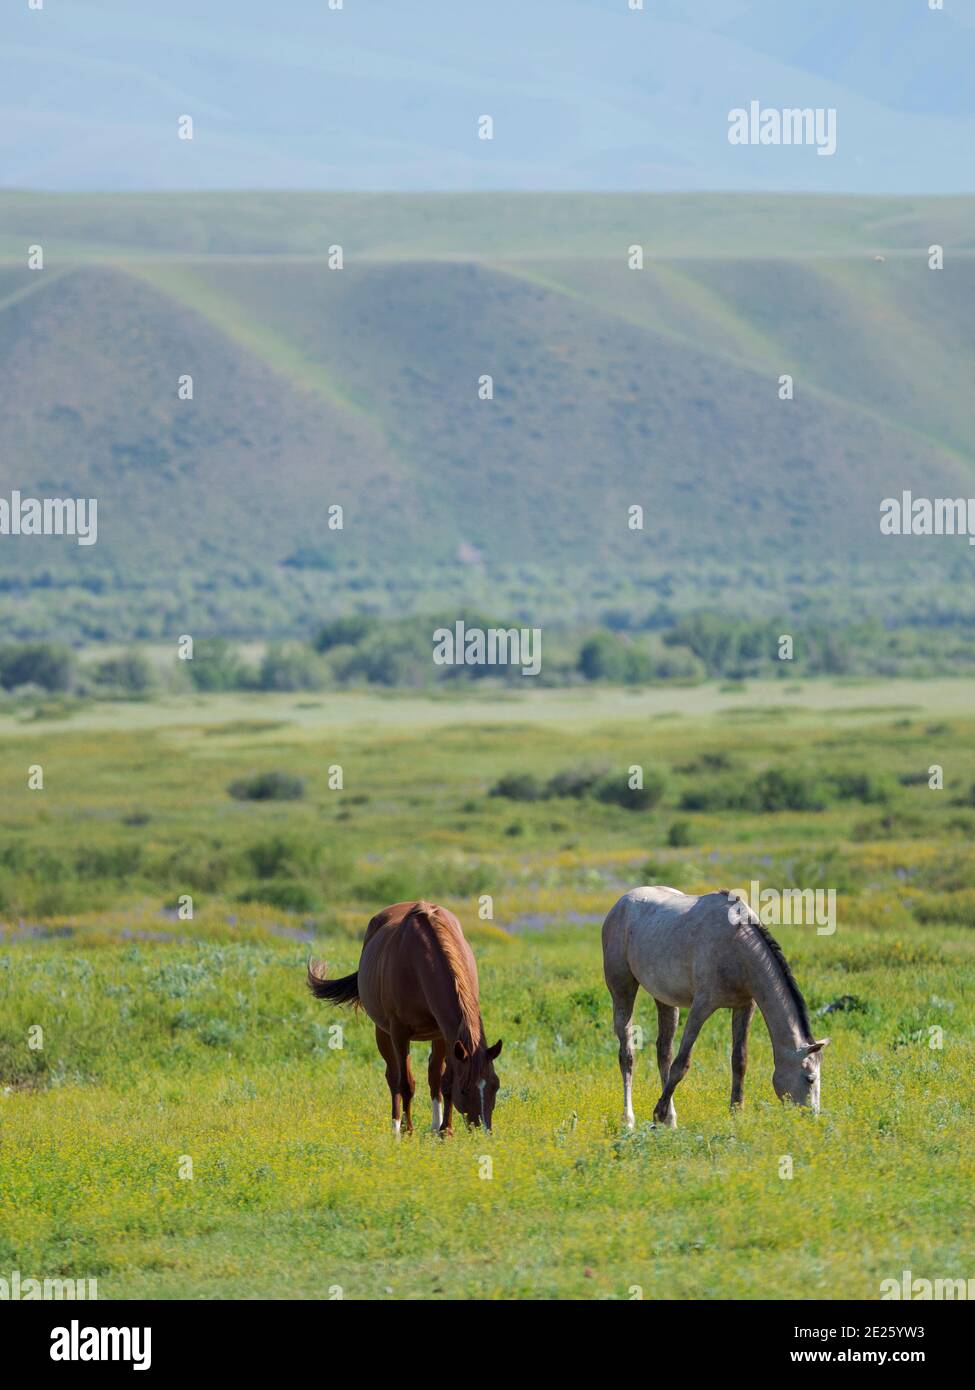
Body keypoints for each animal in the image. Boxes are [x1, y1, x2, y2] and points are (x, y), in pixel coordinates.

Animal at [307, 900, 502, 1134]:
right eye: (464, 1090)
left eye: (495, 1086)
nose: (484, 1132)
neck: (421, 962)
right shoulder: (400, 1032)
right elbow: (406, 1083)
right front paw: (408, 1131)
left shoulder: (446, 1033)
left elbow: (445, 1081)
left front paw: (445, 1131)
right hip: (382, 1031)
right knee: (393, 1078)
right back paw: (397, 1128)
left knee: (434, 1075)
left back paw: (435, 1126)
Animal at [602, 886, 829, 1129]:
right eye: (810, 1078)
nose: (813, 1118)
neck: (736, 946)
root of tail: (620, 903)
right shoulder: (701, 1006)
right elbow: (681, 1064)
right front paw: (657, 1113)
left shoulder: (745, 1006)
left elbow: (739, 1060)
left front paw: (736, 1112)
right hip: (622, 989)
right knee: (627, 1055)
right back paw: (629, 1120)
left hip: (665, 999)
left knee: (663, 1052)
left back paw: (671, 1120)